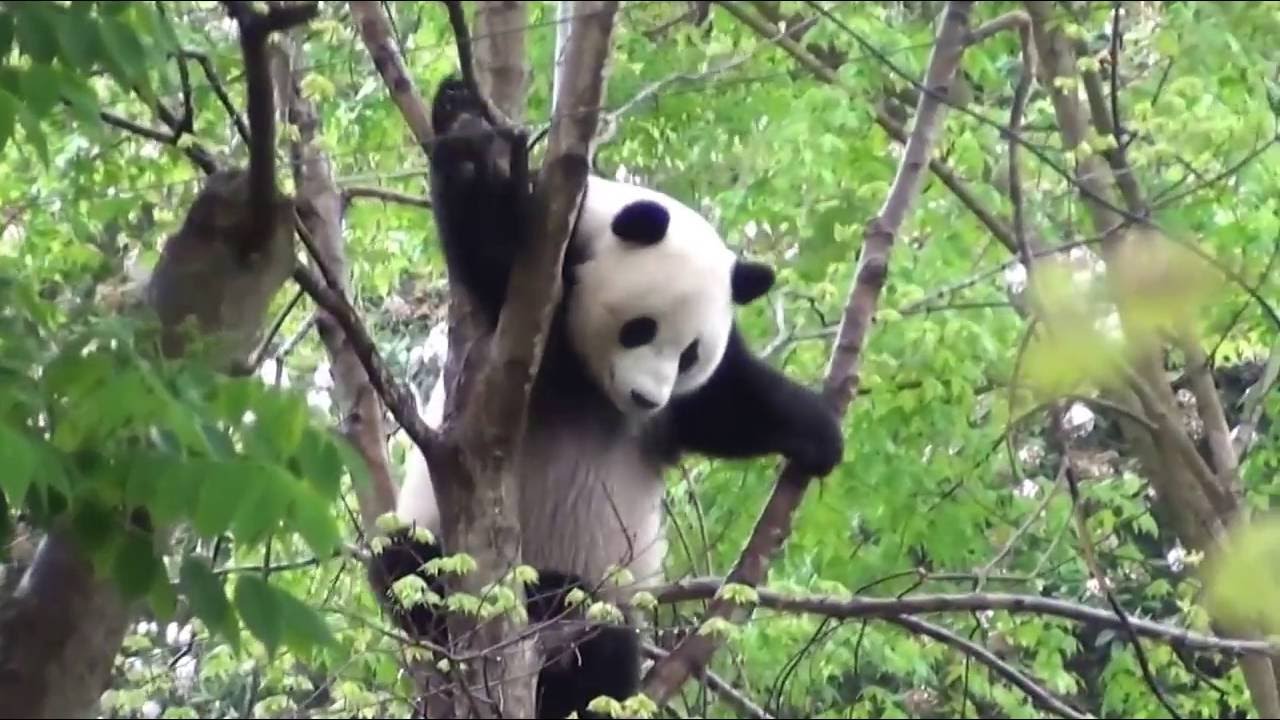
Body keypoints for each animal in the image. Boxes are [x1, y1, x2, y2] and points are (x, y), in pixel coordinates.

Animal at [369, 77, 845, 720]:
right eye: (639, 329)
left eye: (689, 353)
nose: (645, 396)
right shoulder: (540, 290)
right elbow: (496, 257)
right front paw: (463, 124)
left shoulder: (677, 407)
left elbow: (726, 404)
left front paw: (819, 436)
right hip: (447, 543)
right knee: (407, 566)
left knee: (603, 648)